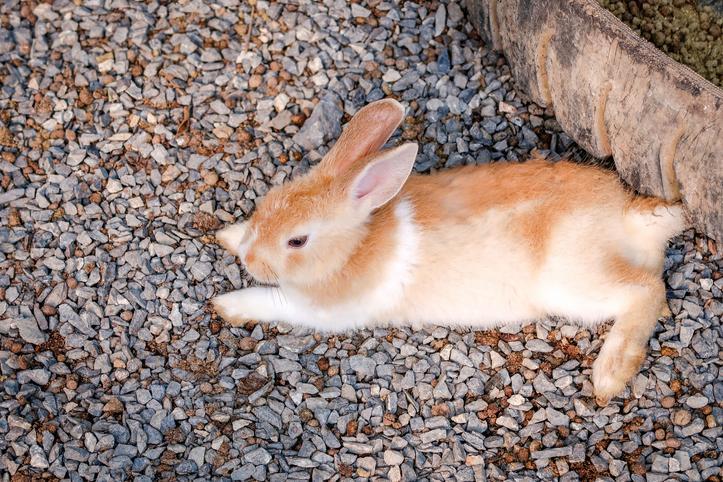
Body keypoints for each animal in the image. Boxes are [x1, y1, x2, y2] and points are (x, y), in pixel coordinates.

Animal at [212, 98, 688, 405]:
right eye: (265, 204)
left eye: (297, 241)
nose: (250, 259)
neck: (355, 244)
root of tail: (629, 214)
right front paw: (228, 235)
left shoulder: (323, 309)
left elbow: (273, 301)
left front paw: (225, 305)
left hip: (575, 282)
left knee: (646, 291)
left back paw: (608, 377)